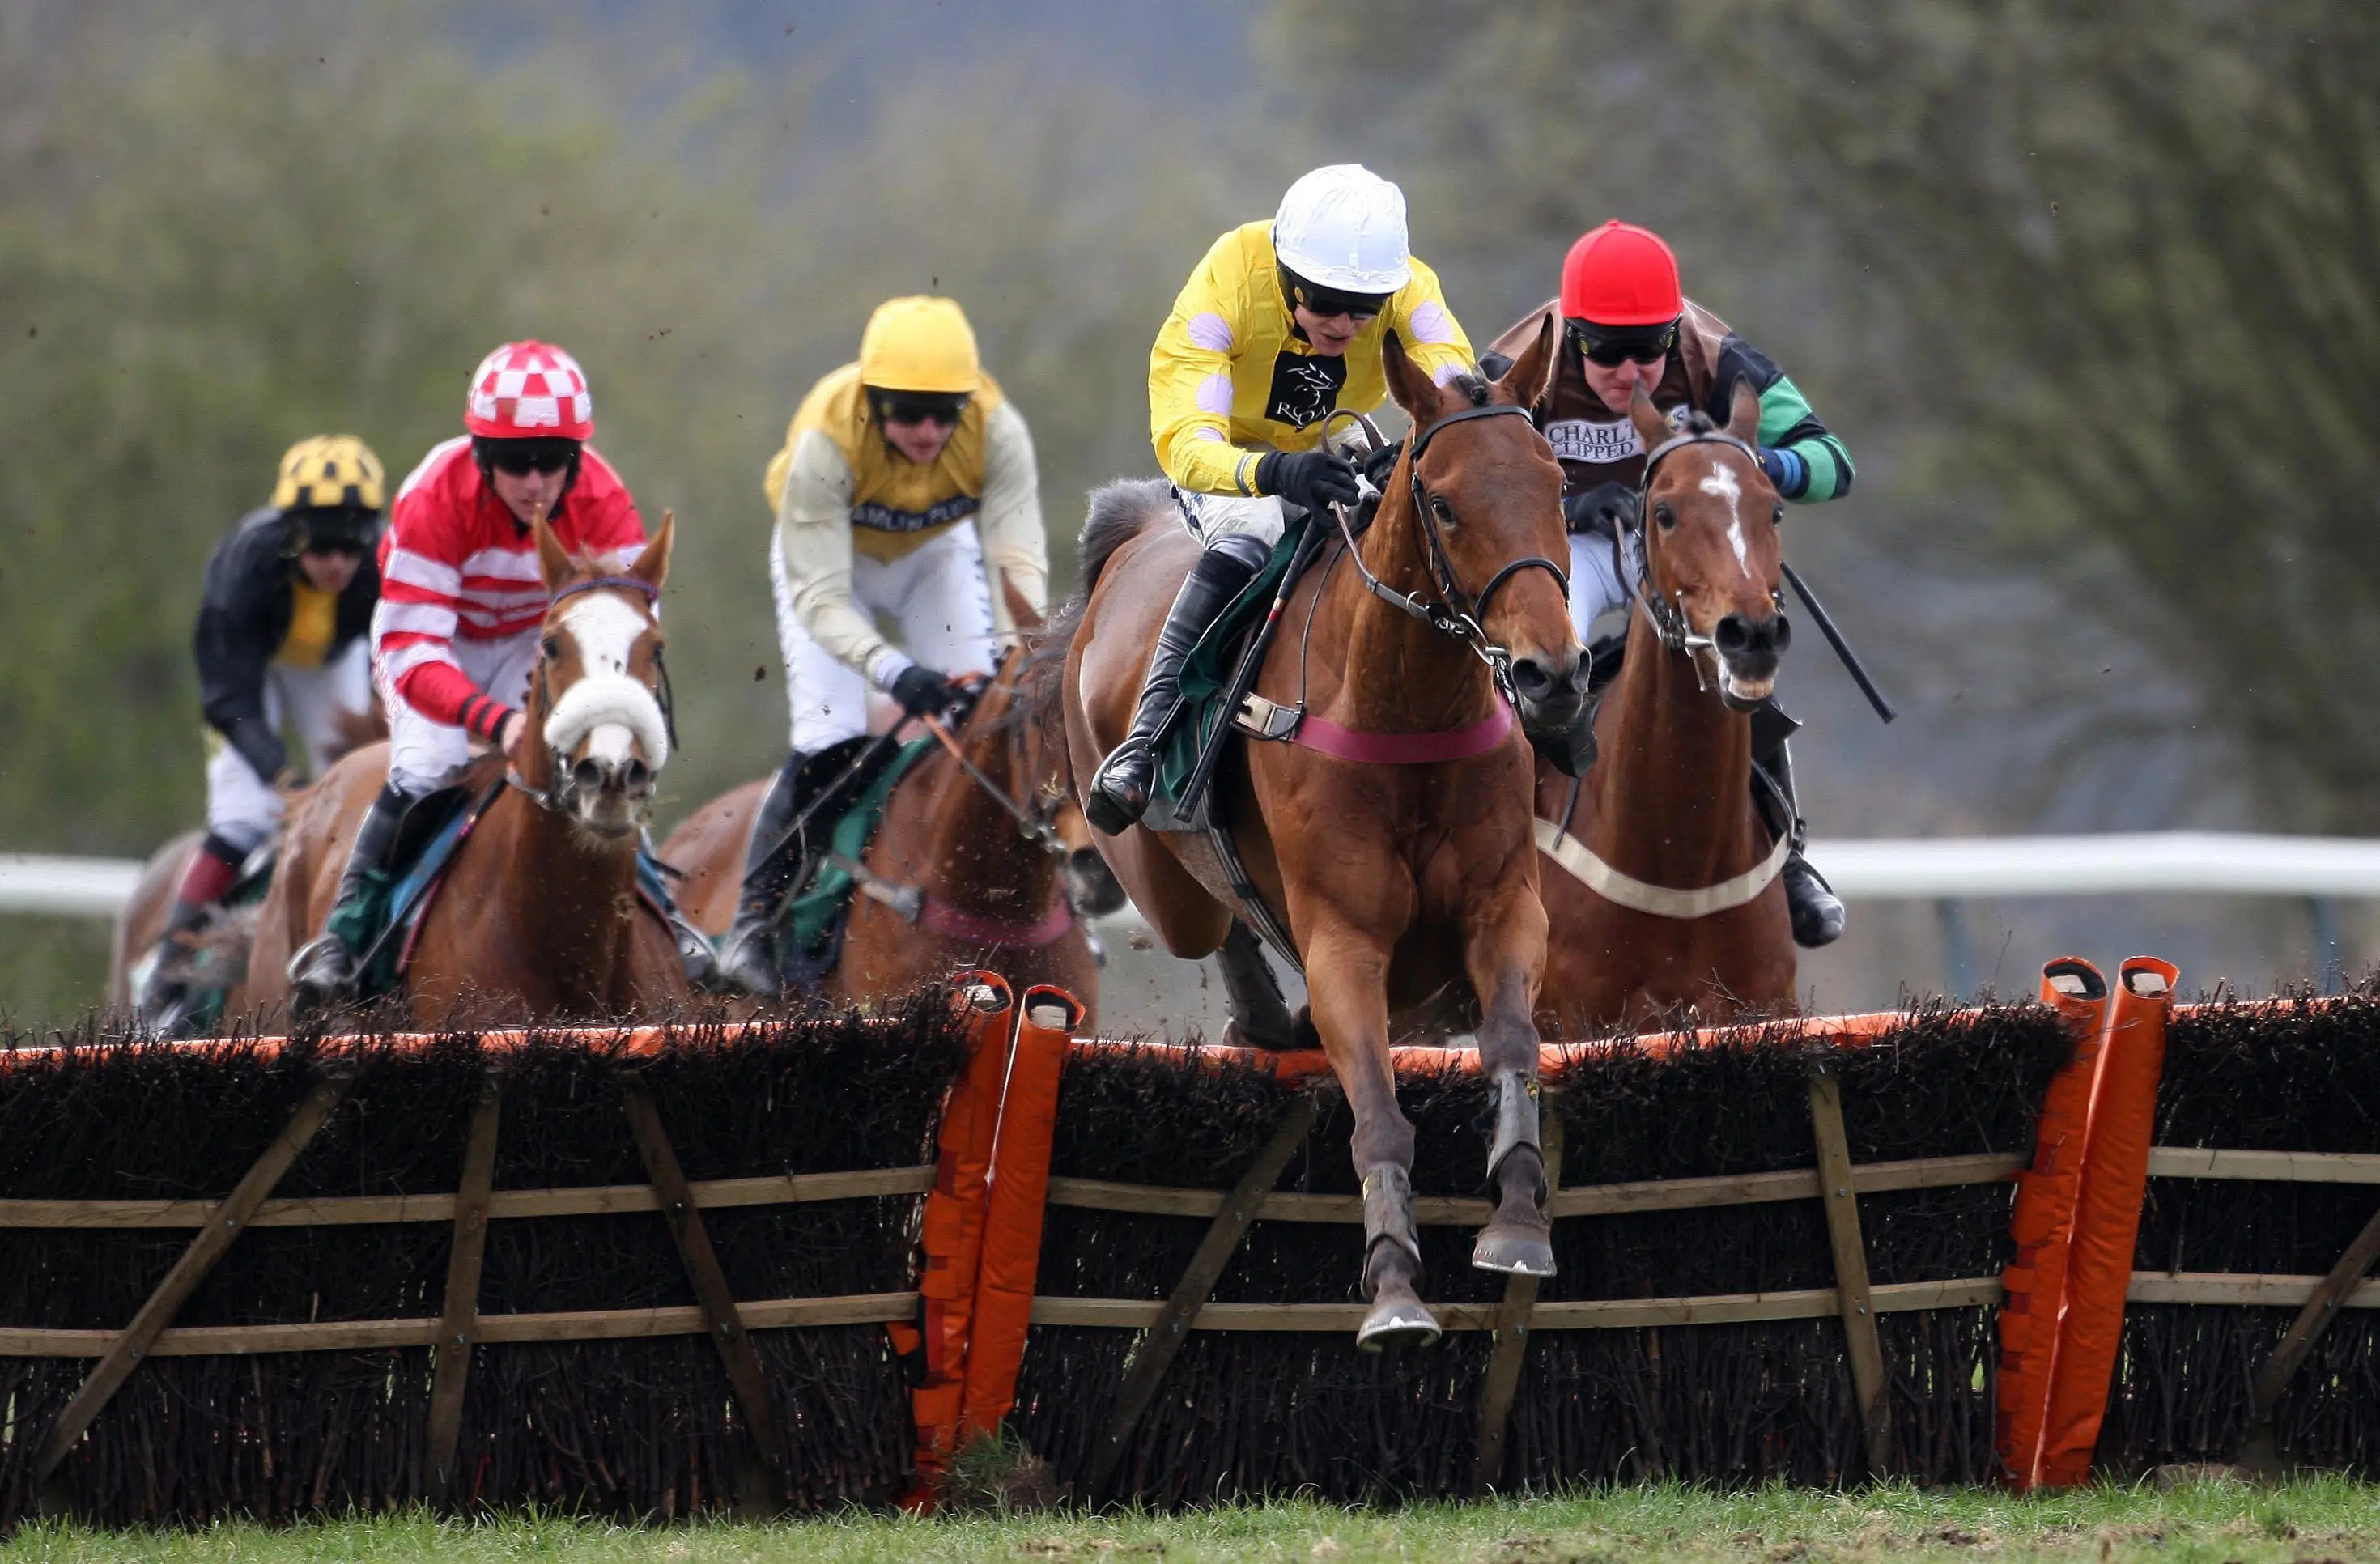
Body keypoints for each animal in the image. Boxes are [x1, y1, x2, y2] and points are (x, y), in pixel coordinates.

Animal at [1061, 325, 1586, 1348]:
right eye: (1445, 504)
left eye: (1556, 486)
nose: (1552, 675)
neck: (1404, 709)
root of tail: (1131, 538)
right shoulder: (1345, 940)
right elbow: (1377, 1108)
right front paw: (1393, 1285)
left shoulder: (1507, 910)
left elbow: (1512, 1044)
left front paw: (1516, 1222)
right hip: (1154, 872)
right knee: (1211, 923)